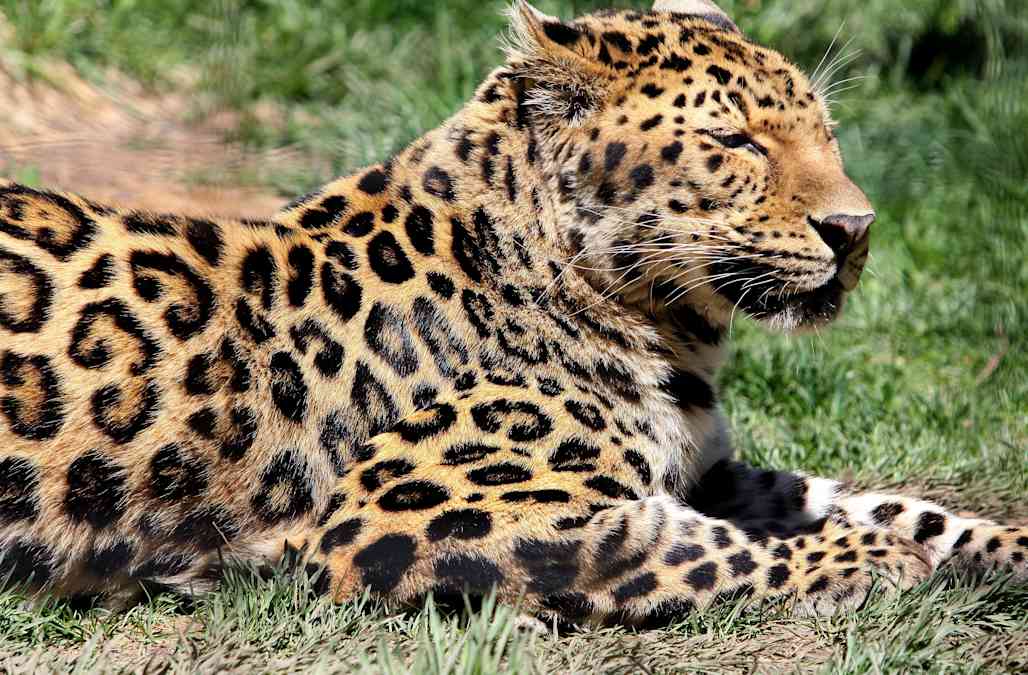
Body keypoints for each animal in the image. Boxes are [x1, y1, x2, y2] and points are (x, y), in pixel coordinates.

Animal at [0, 0, 1024, 627]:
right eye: (735, 141)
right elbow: (700, 544)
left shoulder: (708, 467)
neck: (673, 332)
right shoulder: (408, 515)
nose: (855, 229)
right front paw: (880, 559)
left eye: (828, 131)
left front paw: (992, 546)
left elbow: (876, 498)